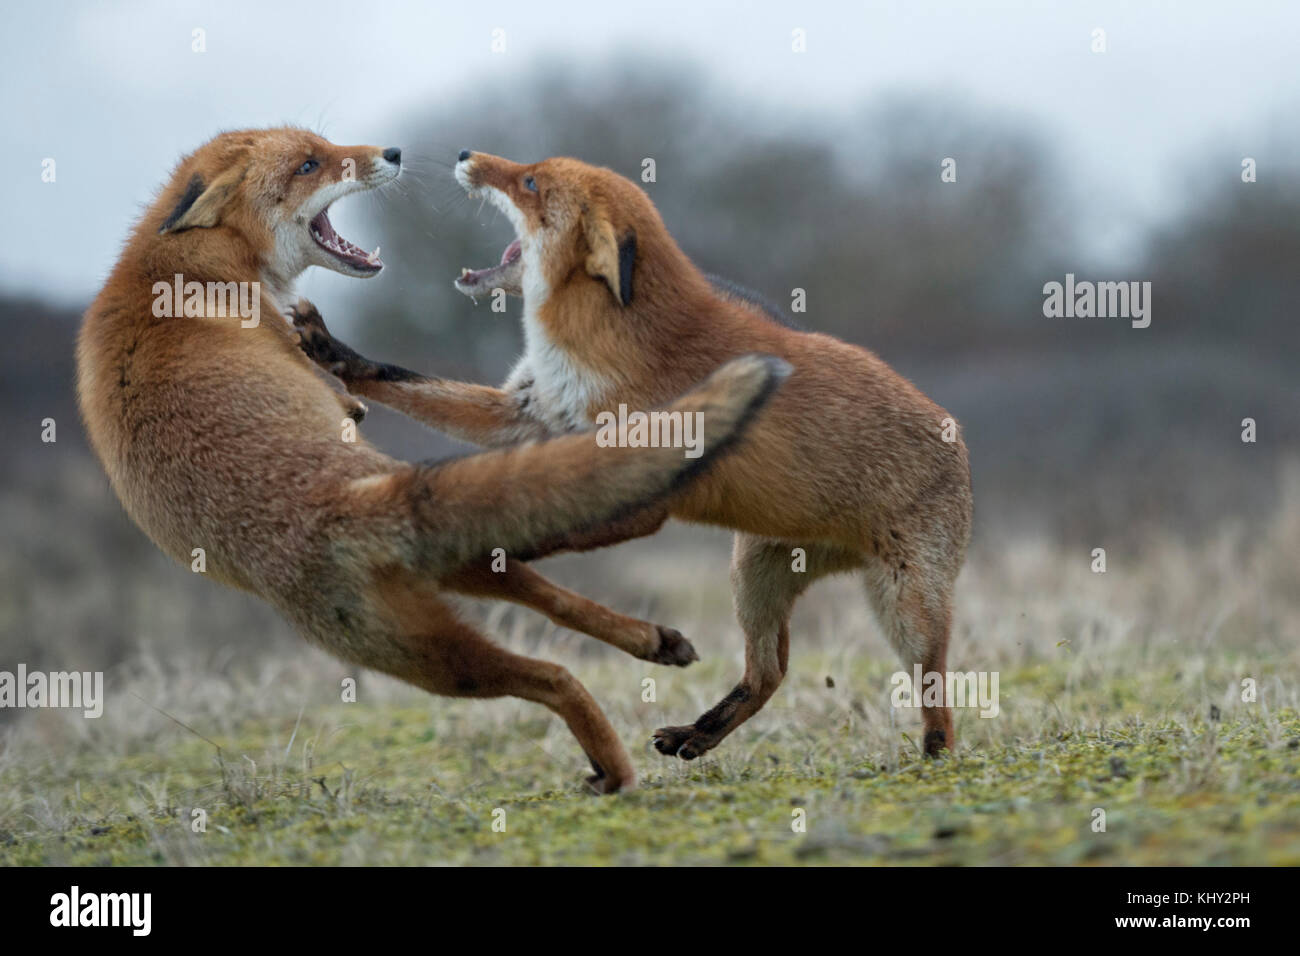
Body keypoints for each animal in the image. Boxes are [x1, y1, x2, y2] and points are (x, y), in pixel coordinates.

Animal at [74, 127, 790, 794]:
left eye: (322, 145)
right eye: (309, 164)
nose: (390, 153)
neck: (184, 261)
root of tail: (339, 503)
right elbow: (338, 388)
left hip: (426, 636)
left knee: (545, 604)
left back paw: (652, 649)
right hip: (428, 654)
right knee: (553, 670)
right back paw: (618, 760)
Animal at [295, 149, 973, 762]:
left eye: (531, 182)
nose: (465, 154)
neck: (592, 345)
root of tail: (959, 433)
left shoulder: (645, 480)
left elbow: (561, 525)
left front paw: (501, 550)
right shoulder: (528, 416)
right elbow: (404, 381)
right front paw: (336, 353)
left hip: (905, 605)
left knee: (933, 680)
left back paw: (936, 752)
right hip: (755, 577)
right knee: (769, 673)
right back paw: (698, 735)